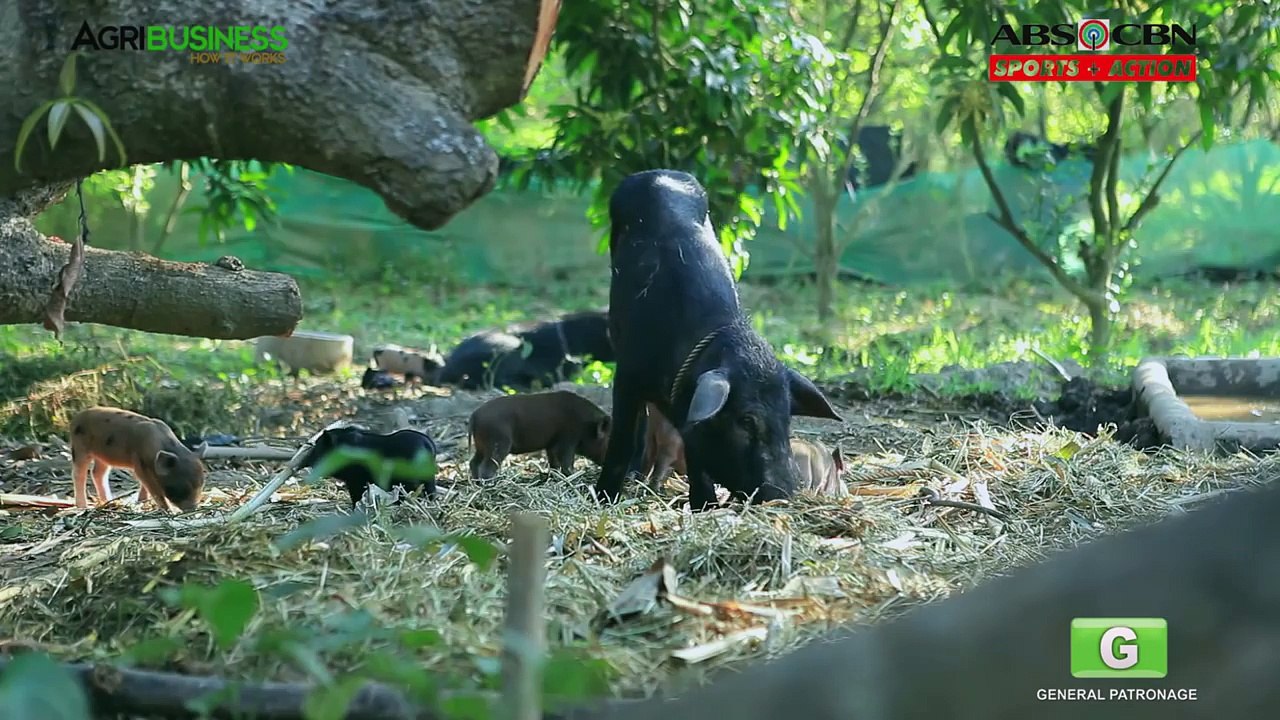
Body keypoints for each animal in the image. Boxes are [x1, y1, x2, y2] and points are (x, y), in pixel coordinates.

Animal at [68, 406, 208, 512]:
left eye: (201, 485)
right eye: (182, 487)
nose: (193, 508)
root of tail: (75, 418)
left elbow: (145, 486)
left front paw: (142, 502)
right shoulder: (140, 463)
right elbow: (153, 488)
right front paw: (168, 511)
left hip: (102, 456)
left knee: (98, 473)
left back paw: (107, 502)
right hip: (79, 447)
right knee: (79, 474)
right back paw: (82, 507)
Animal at [296, 426, 438, 508]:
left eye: (319, 448)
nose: (307, 462)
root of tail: (429, 446)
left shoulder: (355, 480)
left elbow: (356, 496)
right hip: (429, 478)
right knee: (430, 491)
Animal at [468, 390, 611, 479]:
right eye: (609, 440)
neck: (587, 425)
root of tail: (474, 415)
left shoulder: (552, 445)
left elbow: (554, 464)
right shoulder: (567, 442)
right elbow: (567, 463)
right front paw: (571, 476)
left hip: (481, 447)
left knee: (473, 462)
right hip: (498, 444)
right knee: (486, 467)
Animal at [595, 169, 843, 511]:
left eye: (787, 418)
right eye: (746, 421)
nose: (782, 495)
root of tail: (657, 173)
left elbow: (697, 455)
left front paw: (705, 506)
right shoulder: (628, 373)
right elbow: (623, 439)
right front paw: (604, 497)